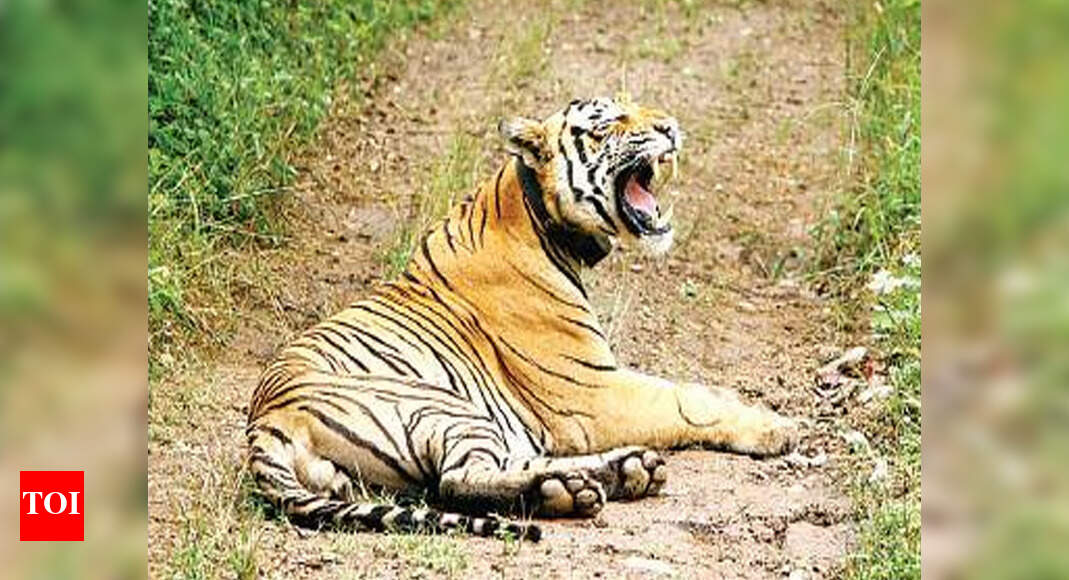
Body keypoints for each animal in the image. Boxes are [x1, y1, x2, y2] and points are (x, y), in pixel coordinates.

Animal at [246, 96, 799, 541]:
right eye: (608, 123)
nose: (670, 127)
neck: (537, 211)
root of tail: (263, 425)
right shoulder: (593, 392)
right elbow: (683, 401)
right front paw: (775, 427)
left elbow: (690, 388)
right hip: (439, 407)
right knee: (457, 480)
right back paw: (571, 490)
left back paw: (620, 471)